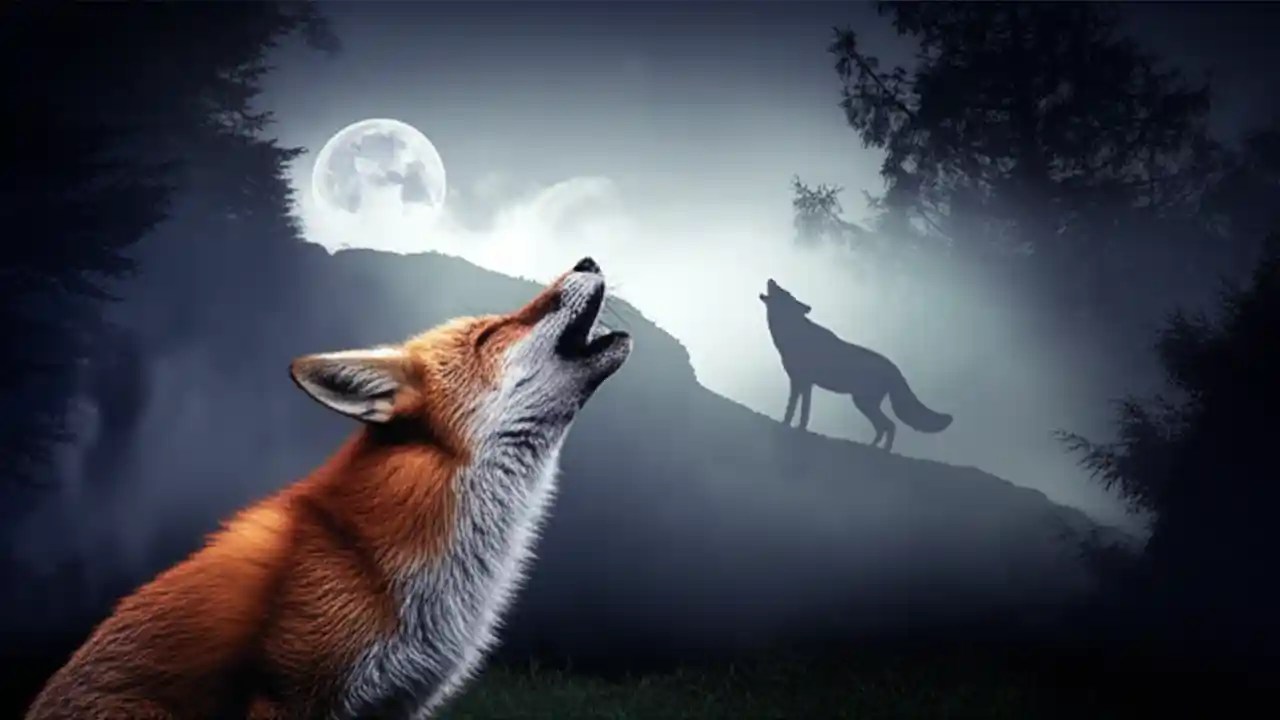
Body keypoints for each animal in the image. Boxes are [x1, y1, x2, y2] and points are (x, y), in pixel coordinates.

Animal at [759, 278, 951, 452]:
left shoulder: (806, 384)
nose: (771, 279)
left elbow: (804, 413)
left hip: (863, 403)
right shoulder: (797, 382)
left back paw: (883, 451)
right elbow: (790, 410)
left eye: (784, 292)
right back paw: (871, 447)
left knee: (890, 426)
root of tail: (894, 367)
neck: (793, 334)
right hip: (862, 403)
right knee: (884, 427)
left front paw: (800, 430)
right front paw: (786, 425)